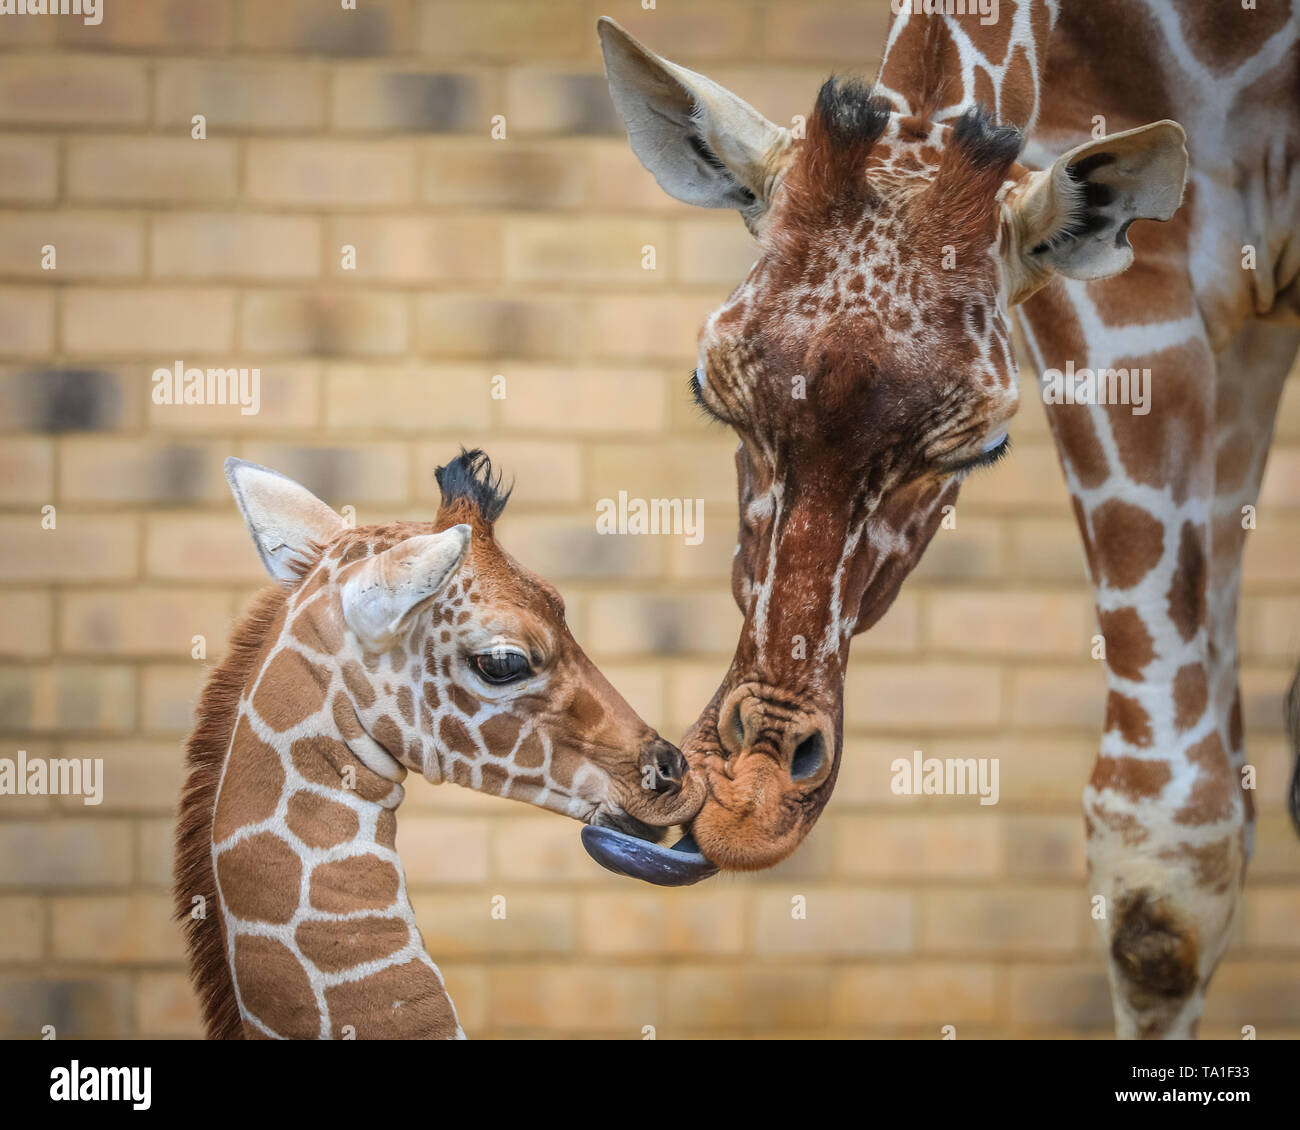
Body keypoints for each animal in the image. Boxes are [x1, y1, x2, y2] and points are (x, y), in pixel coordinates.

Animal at [586, 3, 1300, 1039]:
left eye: (981, 446)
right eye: (712, 394)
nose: (751, 802)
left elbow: (1172, 848)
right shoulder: (1143, 270)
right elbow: (1184, 829)